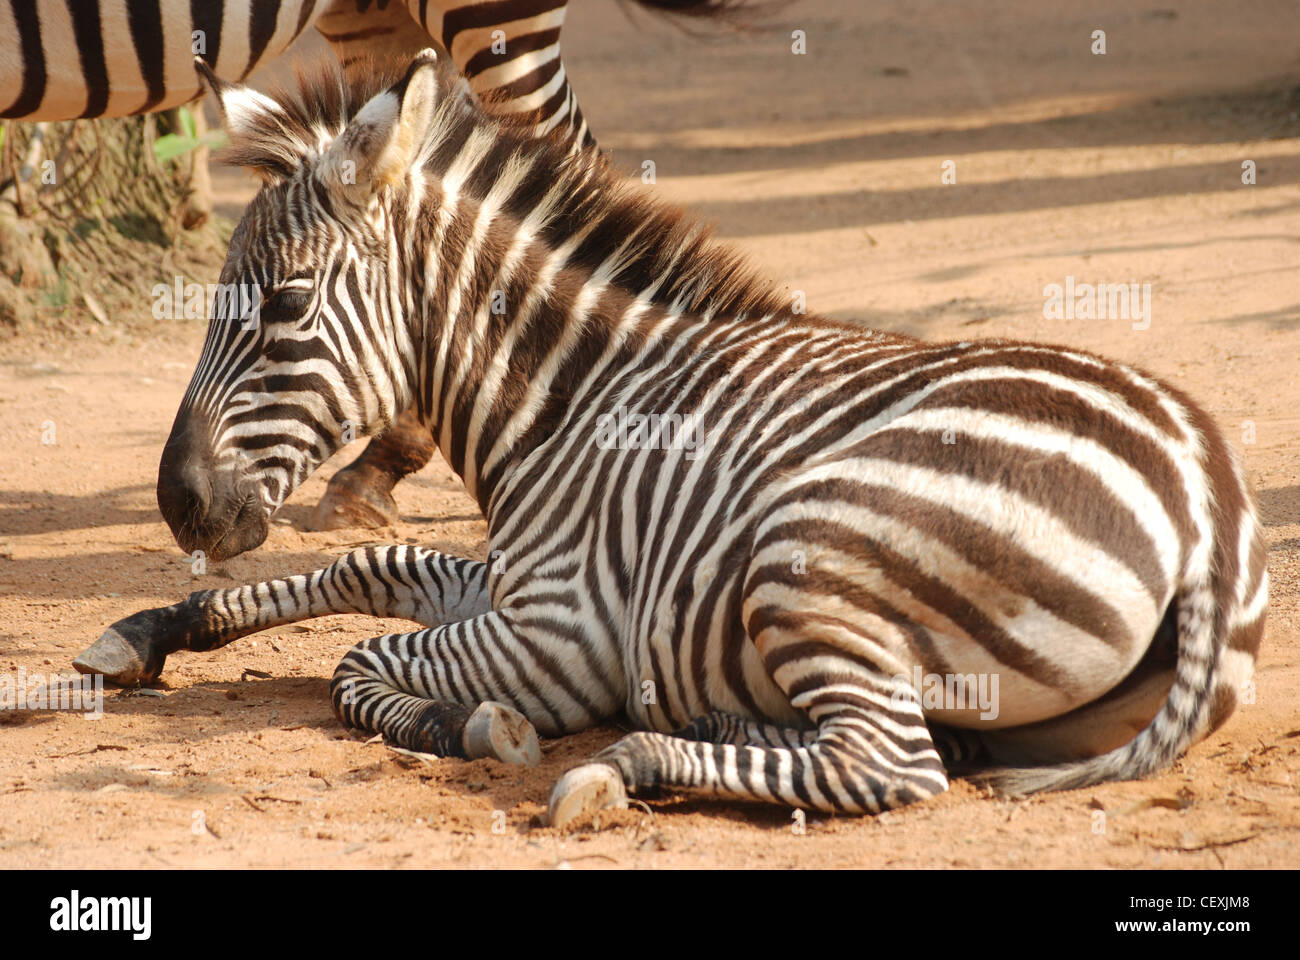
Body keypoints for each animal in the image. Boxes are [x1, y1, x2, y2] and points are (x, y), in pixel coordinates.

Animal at [74, 51, 1267, 825]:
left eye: (284, 304)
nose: (179, 503)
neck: (569, 402)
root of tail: (1205, 492)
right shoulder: (515, 583)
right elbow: (365, 568)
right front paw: (152, 627)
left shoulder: (560, 635)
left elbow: (357, 666)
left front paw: (475, 726)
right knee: (911, 741)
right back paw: (726, 728)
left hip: (811, 548)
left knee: (892, 766)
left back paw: (624, 767)